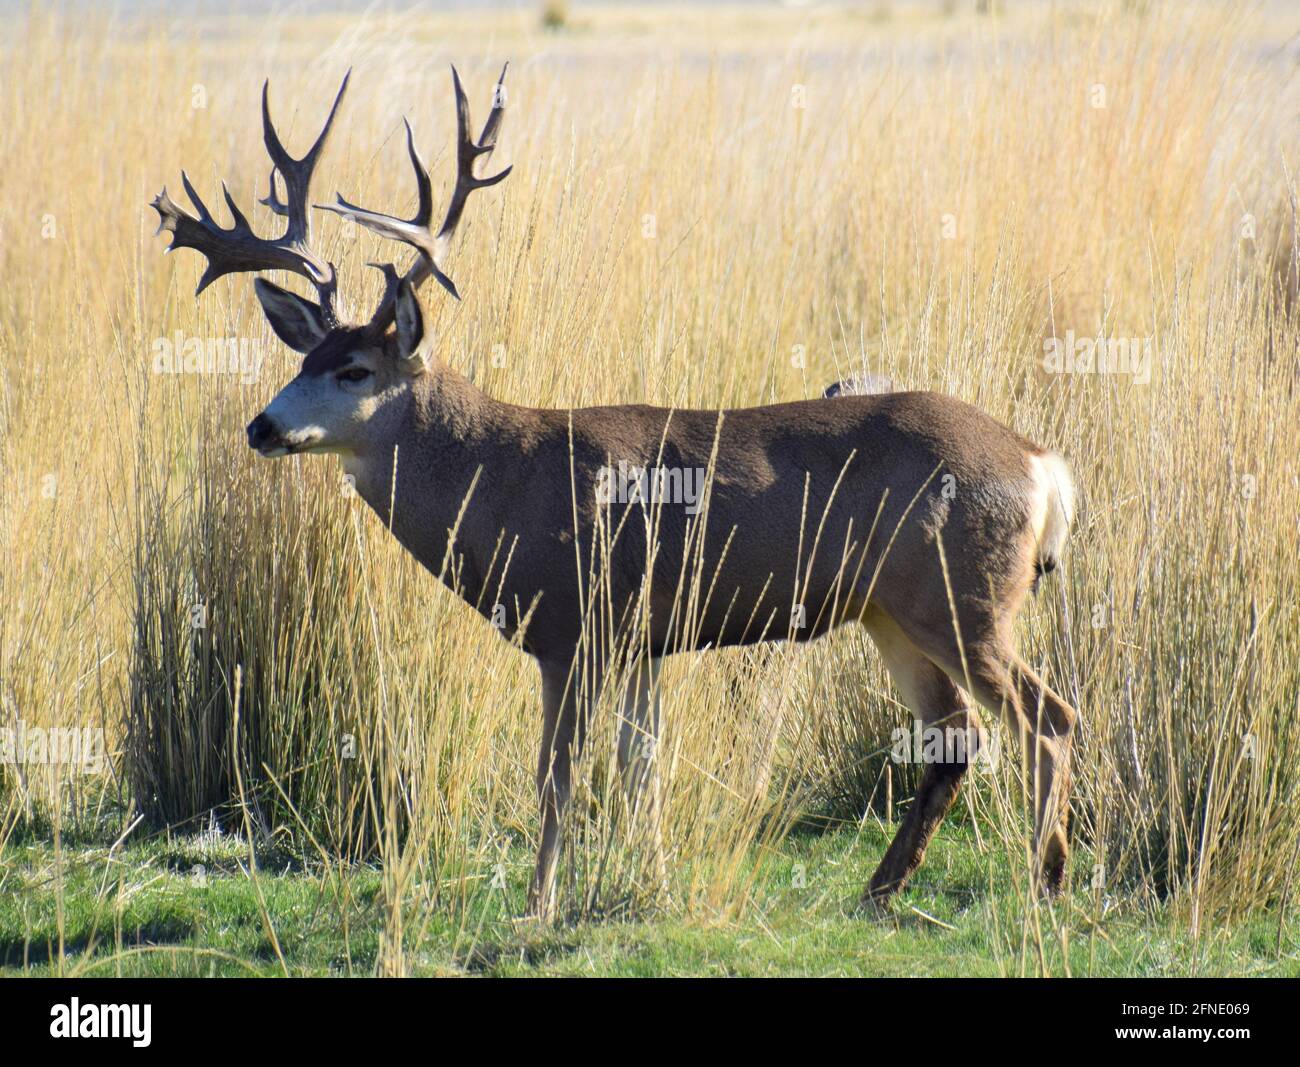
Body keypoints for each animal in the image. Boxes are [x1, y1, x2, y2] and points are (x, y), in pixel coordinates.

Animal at [151, 67, 1079, 920]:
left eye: (353, 369)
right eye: (302, 358)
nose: (262, 426)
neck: (504, 480)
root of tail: (1043, 464)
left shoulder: (571, 623)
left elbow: (557, 776)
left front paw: (537, 904)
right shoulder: (643, 641)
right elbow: (642, 771)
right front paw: (648, 888)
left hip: (964, 594)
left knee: (1047, 716)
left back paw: (1044, 883)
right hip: (891, 607)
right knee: (956, 734)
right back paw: (884, 887)